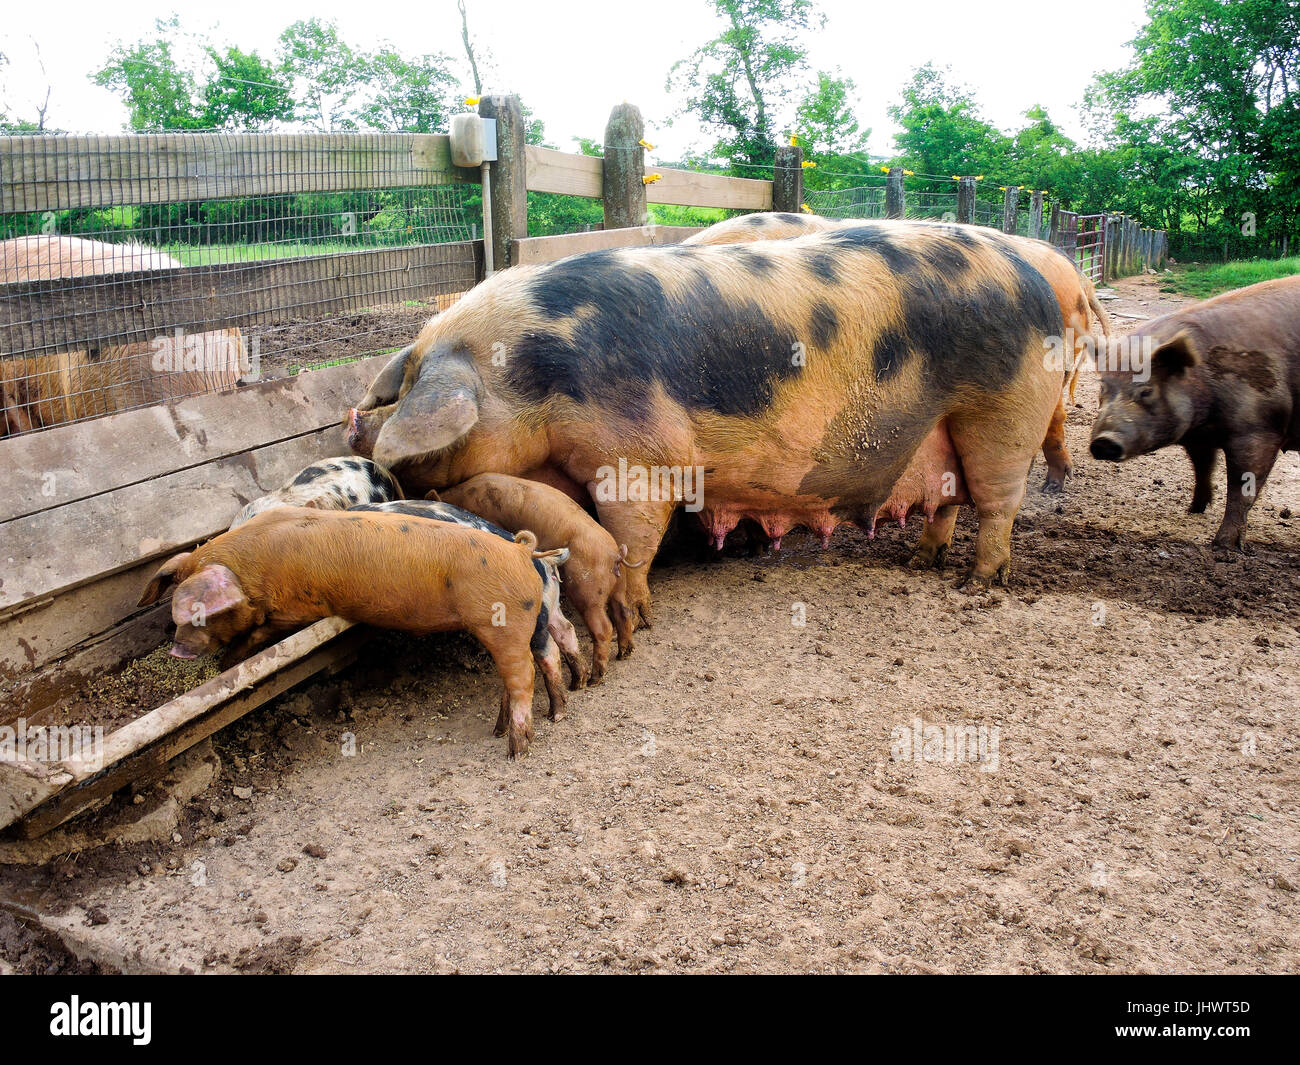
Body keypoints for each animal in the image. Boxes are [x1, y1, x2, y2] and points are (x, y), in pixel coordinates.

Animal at [137, 507, 565, 757]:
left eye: (199, 616)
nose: (177, 650)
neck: (253, 565)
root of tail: (521, 551)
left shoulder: (297, 609)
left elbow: (258, 635)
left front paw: (228, 660)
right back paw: (527, 723)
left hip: (502, 621)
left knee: (523, 673)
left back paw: (517, 749)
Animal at [346, 223, 1065, 625]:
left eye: (411, 392)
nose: (357, 426)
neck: (535, 373)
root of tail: (1039, 281)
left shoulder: (639, 454)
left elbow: (632, 533)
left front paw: (637, 611)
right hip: (946, 430)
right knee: (949, 498)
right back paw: (922, 561)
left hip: (1002, 413)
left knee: (997, 503)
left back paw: (978, 582)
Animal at [349, 498, 589, 689]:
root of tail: (542, 558)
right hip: (552, 604)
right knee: (566, 630)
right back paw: (578, 684)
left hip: (534, 614)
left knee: (546, 648)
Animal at [435, 473, 642, 684]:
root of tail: (615, 555)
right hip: (619, 584)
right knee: (623, 610)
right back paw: (624, 654)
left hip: (587, 590)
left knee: (603, 626)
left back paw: (595, 679)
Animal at [1089, 275, 1300, 554]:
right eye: (1103, 387)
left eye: (1146, 391)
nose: (1103, 442)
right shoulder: (1198, 437)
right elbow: (1202, 468)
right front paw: (1194, 510)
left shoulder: (1259, 430)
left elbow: (1242, 487)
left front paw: (1223, 546)